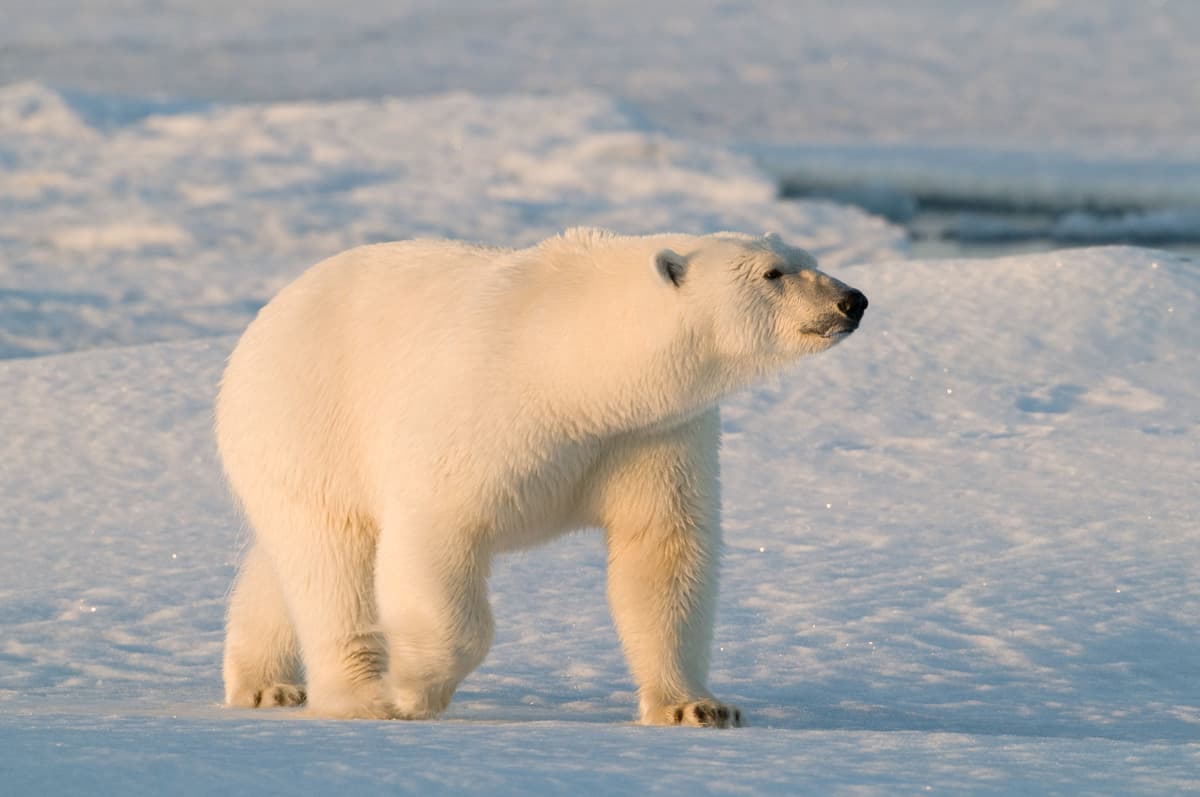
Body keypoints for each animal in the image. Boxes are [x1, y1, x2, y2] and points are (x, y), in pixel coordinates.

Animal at [216, 227, 867, 727]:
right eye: (773, 273)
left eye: (809, 257)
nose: (852, 301)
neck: (572, 371)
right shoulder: (475, 413)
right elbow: (438, 534)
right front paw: (412, 690)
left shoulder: (649, 435)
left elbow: (663, 551)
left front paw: (697, 707)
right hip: (307, 417)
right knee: (332, 558)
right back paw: (358, 696)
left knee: (283, 563)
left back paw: (266, 684)